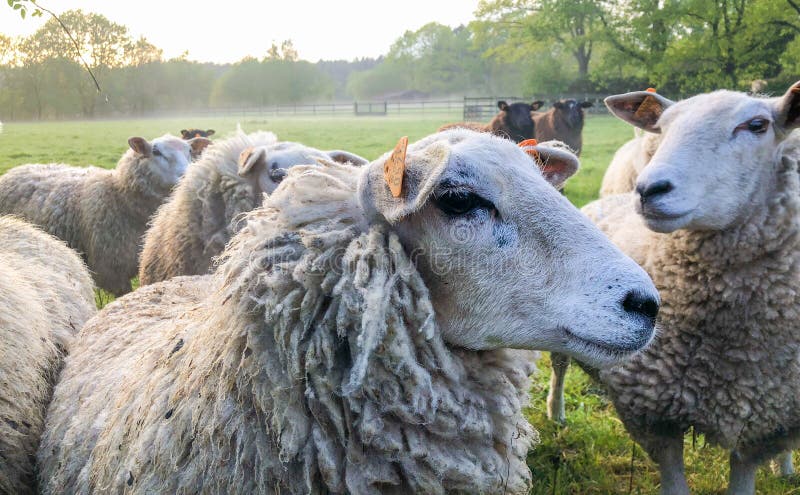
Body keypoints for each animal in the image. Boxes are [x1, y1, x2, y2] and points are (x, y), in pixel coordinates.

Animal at [0, 134, 210, 296]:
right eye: (156, 152)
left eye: (190, 152)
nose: (188, 176)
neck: (118, 195)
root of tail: (17, 169)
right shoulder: (112, 271)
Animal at [580, 82, 800, 495]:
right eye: (662, 128)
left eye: (757, 125)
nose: (648, 189)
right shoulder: (653, 414)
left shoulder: (761, 418)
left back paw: (785, 467)